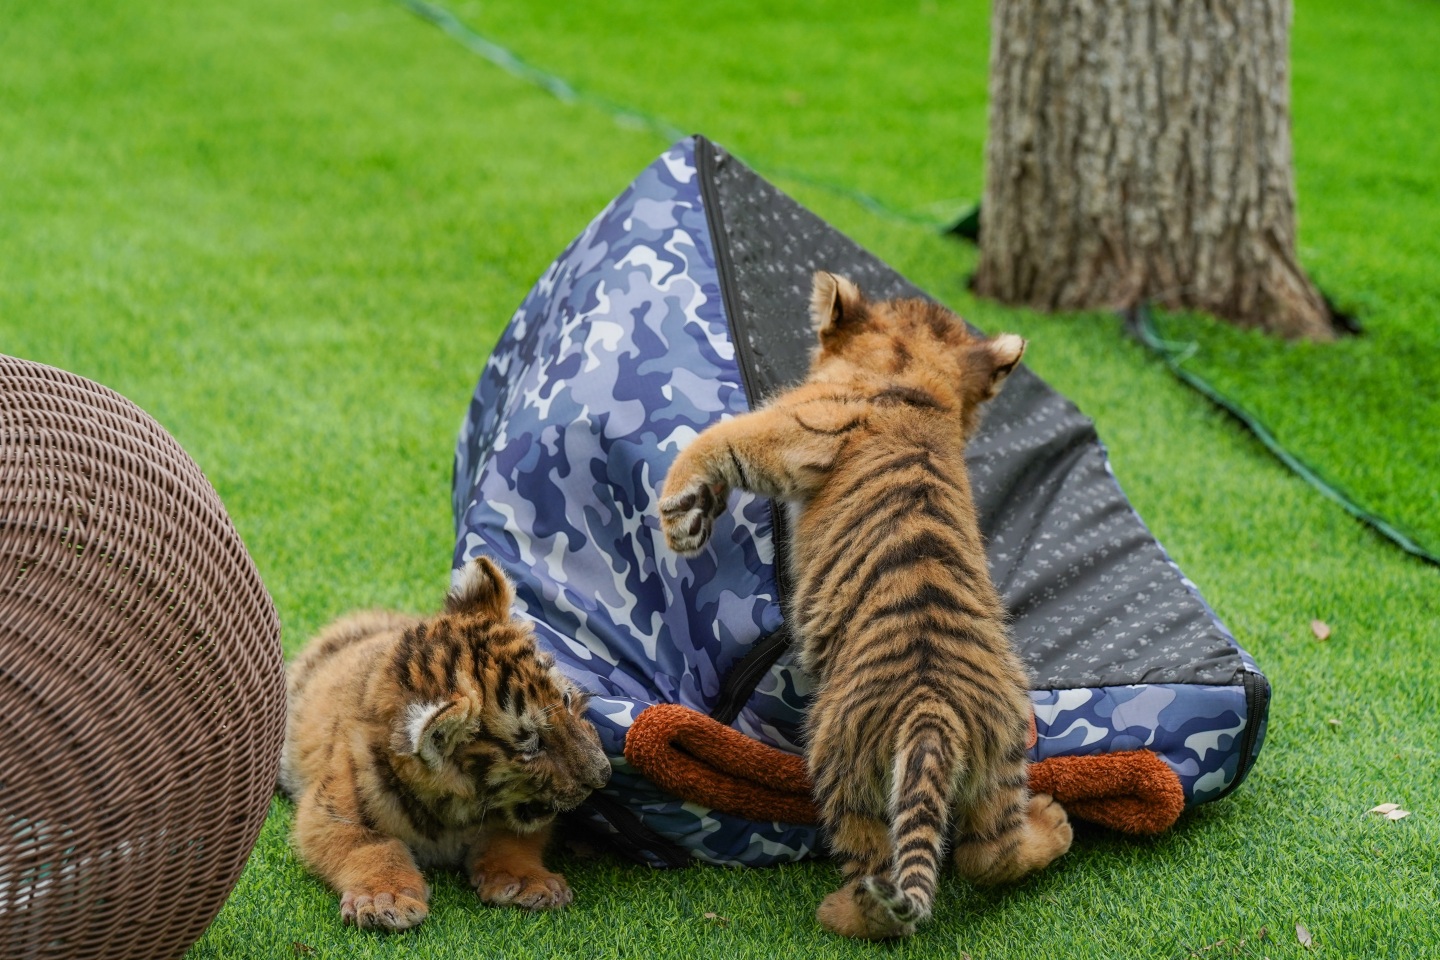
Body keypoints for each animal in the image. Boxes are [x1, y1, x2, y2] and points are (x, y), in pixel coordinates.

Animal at [278, 556, 611, 931]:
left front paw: (529, 882)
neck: (453, 814)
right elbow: (372, 846)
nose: (605, 774)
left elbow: (512, 840)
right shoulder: (328, 812)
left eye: (566, 700)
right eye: (531, 745)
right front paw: (385, 899)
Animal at [659, 272, 1072, 939]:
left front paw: (677, 519)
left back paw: (842, 913)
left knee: (876, 866)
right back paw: (1053, 826)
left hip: (841, 761)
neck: (914, 382)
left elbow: (716, 438)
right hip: (1002, 752)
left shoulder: (797, 428)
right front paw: (699, 510)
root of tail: (935, 712)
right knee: (990, 854)